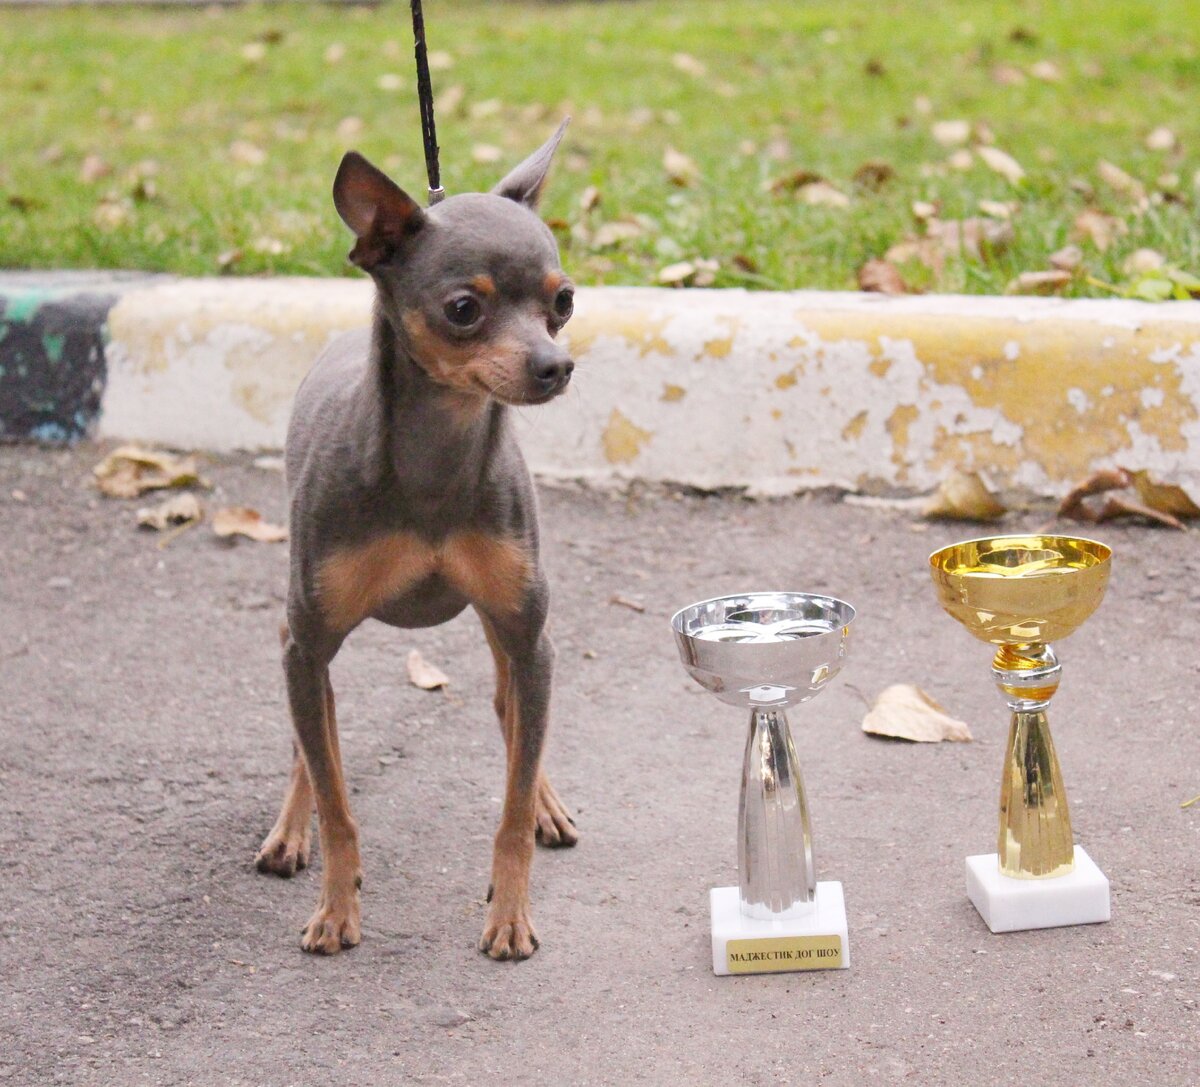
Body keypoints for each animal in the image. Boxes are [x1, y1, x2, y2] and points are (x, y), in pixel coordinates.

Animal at [256, 122, 580, 959]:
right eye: (464, 307)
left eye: (563, 301)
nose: (556, 365)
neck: (435, 461)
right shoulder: (309, 645)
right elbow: (337, 797)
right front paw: (336, 908)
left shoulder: (529, 632)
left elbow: (510, 803)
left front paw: (511, 911)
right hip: (301, 638)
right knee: (310, 738)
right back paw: (291, 828)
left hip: (510, 628)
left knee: (511, 708)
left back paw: (544, 796)